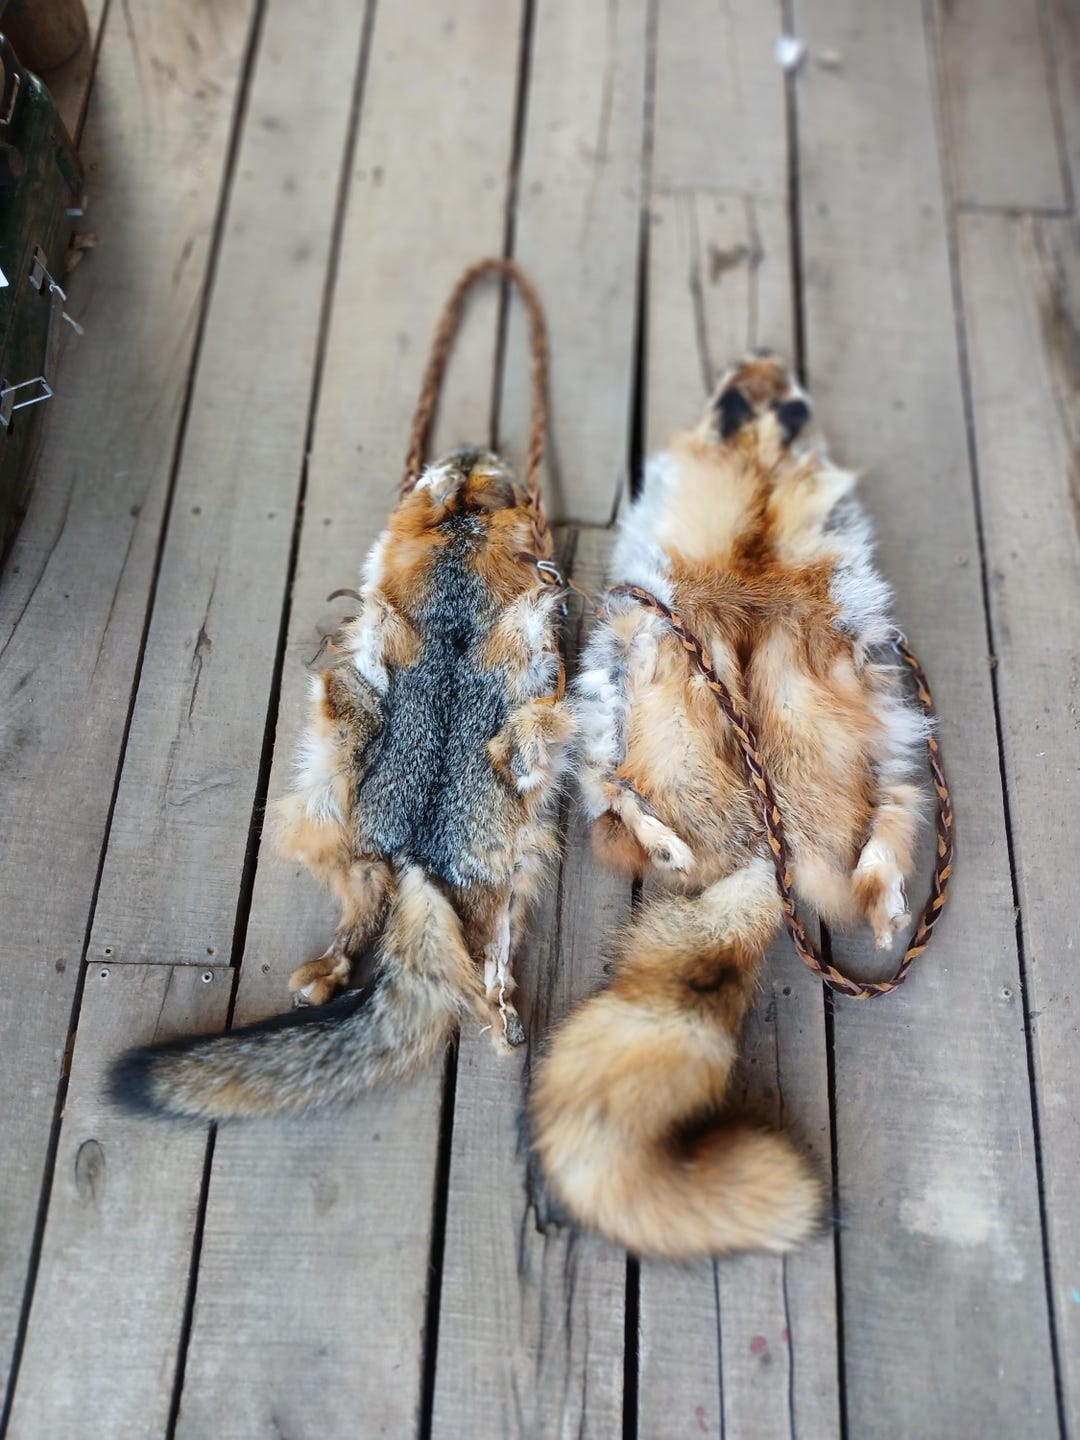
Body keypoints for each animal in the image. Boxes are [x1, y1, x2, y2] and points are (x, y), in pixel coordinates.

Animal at [110, 449, 574, 1121]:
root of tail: (418, 861)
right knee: (483, 967)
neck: (461, 542)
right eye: (481, 467)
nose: (468, 450)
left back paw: (327, 978)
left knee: (372, 938)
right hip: (503, 878)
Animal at [528, 354, 930, 1260]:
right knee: (613, 802)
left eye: (786, 396)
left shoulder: (862, 634)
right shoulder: (641, 611)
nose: (762, 364)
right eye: (734, 394)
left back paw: (879, 889)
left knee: (894, 812)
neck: (758, 503)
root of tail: (759, 854)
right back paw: (673, 844)